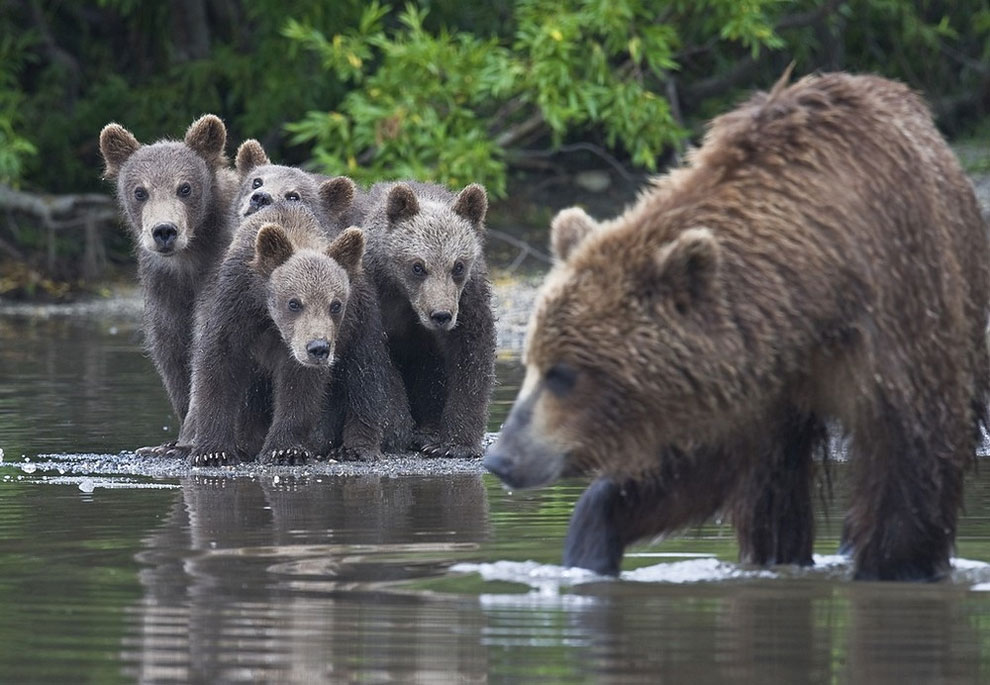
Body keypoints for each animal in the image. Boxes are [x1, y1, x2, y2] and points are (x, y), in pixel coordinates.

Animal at [99, 114, 238, 455]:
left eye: (184, 188)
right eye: (140, 191)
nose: (164, 231)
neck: (188, 261)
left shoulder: (217, 271)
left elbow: (207, 347)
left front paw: (190, 436)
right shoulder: (164, 288)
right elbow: (171, 350)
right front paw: (170, 439)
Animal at [185, 196, 393, 466]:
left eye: (335, 304)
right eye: (294, 302)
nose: (318, 348)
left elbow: (299, 385)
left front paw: (285, 449)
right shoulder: (235, 304)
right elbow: (219, 365)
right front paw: (213, 451)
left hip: (362, 318)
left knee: (365, 374)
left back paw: (355, 447)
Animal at [360, 180, 497, 459]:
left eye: (458, 266)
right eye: (418, 266)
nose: (441, 315)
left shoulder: (467, 301)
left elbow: (472, 357)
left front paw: (456, 444)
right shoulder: (376, 296)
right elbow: (379, 364)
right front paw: (395, 428)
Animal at [484, 71, 990, 582]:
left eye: (563, 372)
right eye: (531, 362)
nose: (500, 458)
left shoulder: (892, 334)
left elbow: (908, 467)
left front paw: (893, 566)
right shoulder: (749, 378)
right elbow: (702, 468)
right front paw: (592, 545)